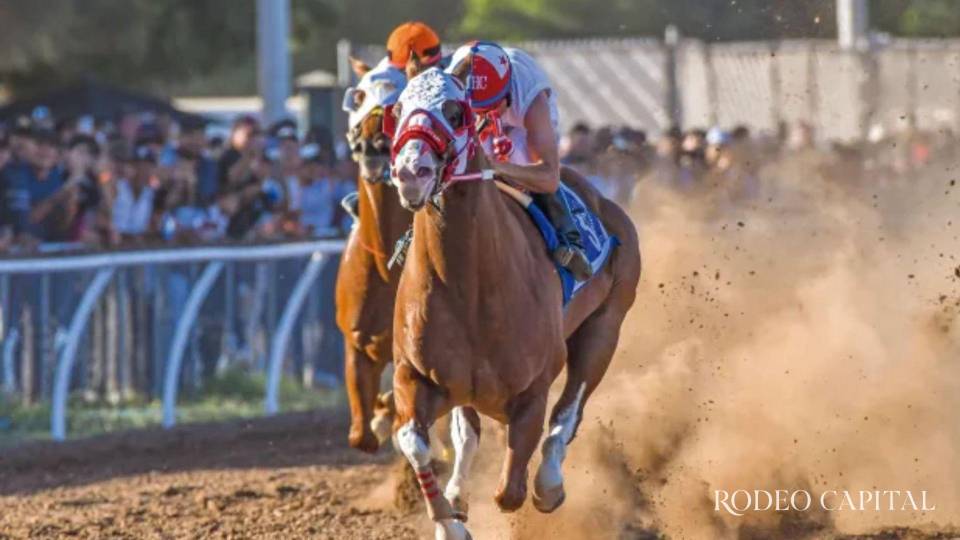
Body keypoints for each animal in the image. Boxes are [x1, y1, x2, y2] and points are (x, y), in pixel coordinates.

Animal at [385, 66, 642, 539]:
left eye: (455, 110)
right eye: (398, 110)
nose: (411, 171)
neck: (468, 286)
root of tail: (605, 202)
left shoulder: (532, 388)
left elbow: (510, 490)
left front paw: (530, 490)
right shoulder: (414, 375)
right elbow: (415, 442)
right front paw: (450, 520)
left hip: (605, 326)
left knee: (568, 410)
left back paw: (550, 483)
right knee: (468, 432)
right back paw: (458, 493)